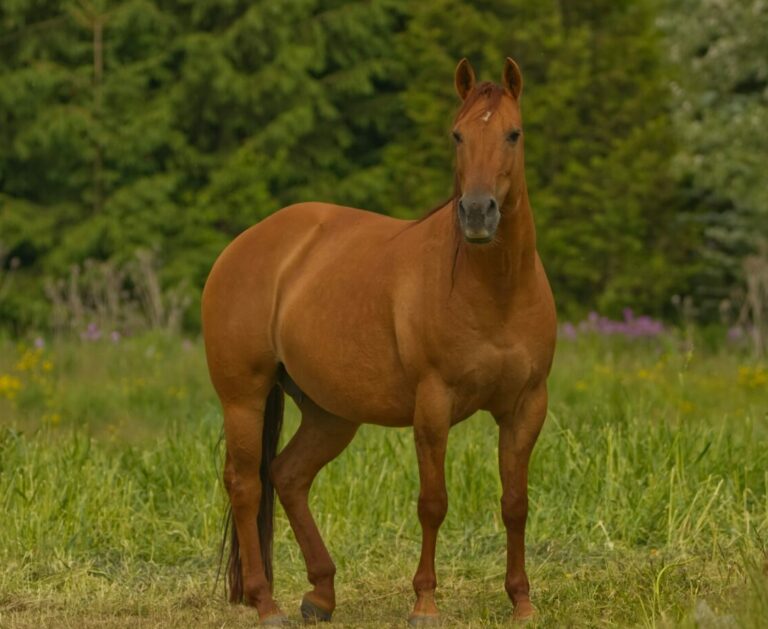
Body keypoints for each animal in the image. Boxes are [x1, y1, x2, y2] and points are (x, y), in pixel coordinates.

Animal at [202, 57, 556, 625]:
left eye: (513, 133)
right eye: (457, 134)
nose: (478, 213)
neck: (495, 291)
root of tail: (246, 244)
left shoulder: (526, 407)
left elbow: (515, 504)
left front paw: (521, 601)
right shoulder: (433, 405)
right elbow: (433, 503)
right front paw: (425, 603)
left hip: (330, 413)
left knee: (288, 475)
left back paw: (321, 594)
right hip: (244, 398)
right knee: (245, 484)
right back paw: (264, 601)